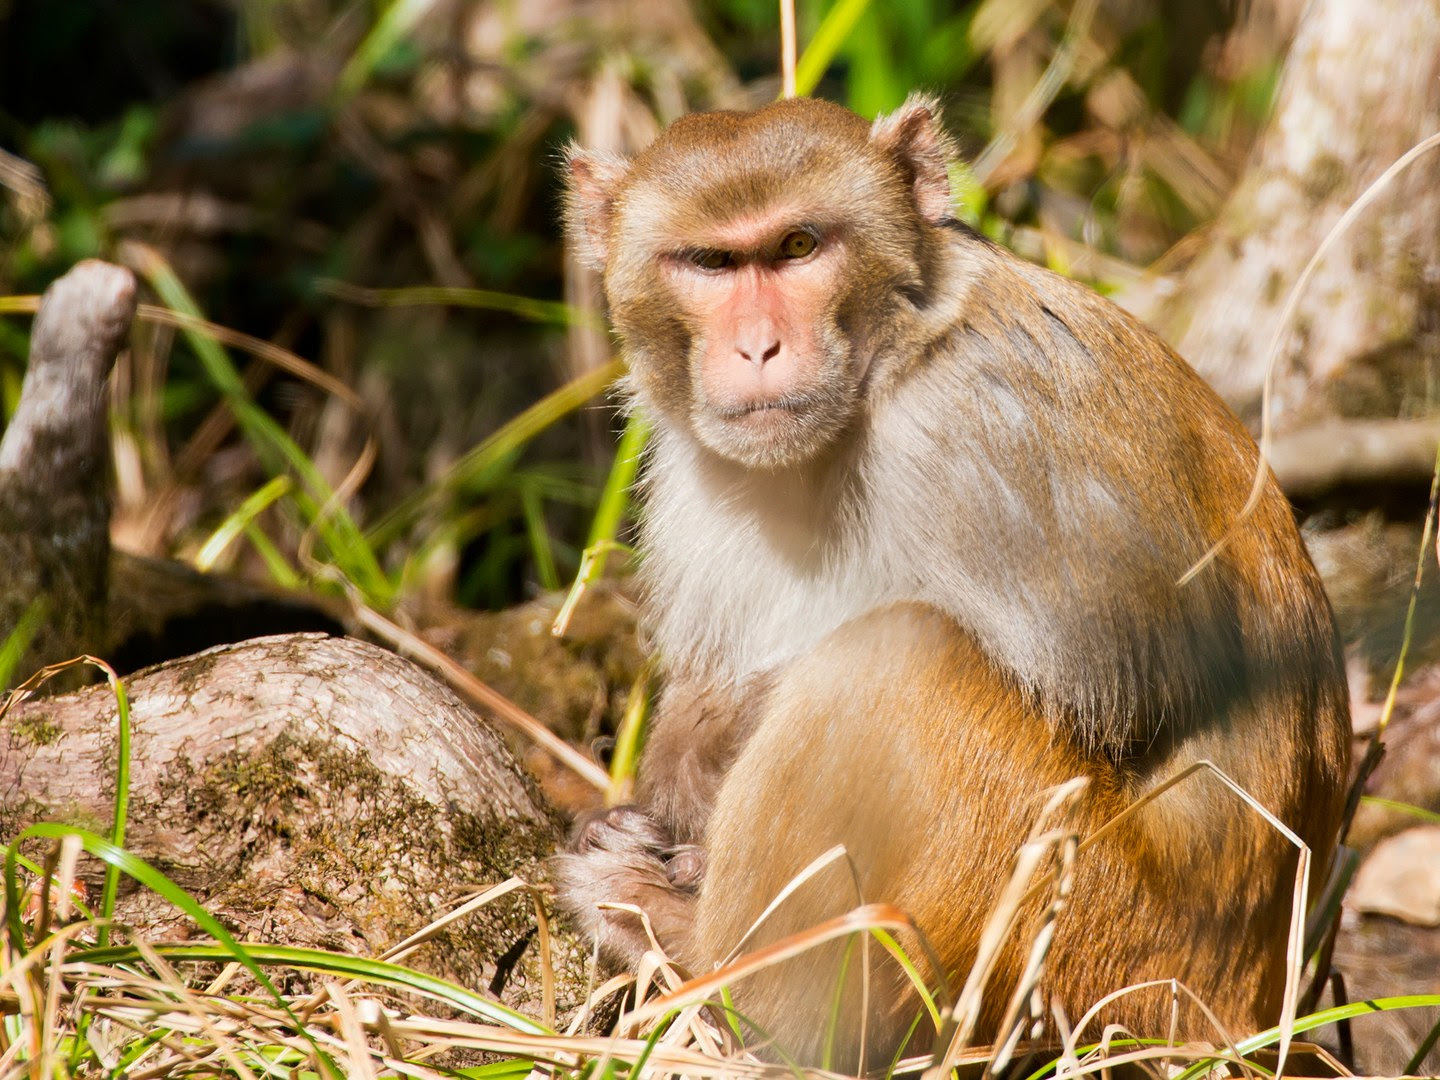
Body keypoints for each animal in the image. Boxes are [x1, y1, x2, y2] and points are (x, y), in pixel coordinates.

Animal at [551, 94, 1351, 1069]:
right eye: (711, 262)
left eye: (797, 247)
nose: (758, 347)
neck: (883, 364)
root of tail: (1245, 1007)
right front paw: (662, 787)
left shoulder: (983, 423)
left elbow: (1115, 686)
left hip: (1096, 945)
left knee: (899, 658)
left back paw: (699, 952)